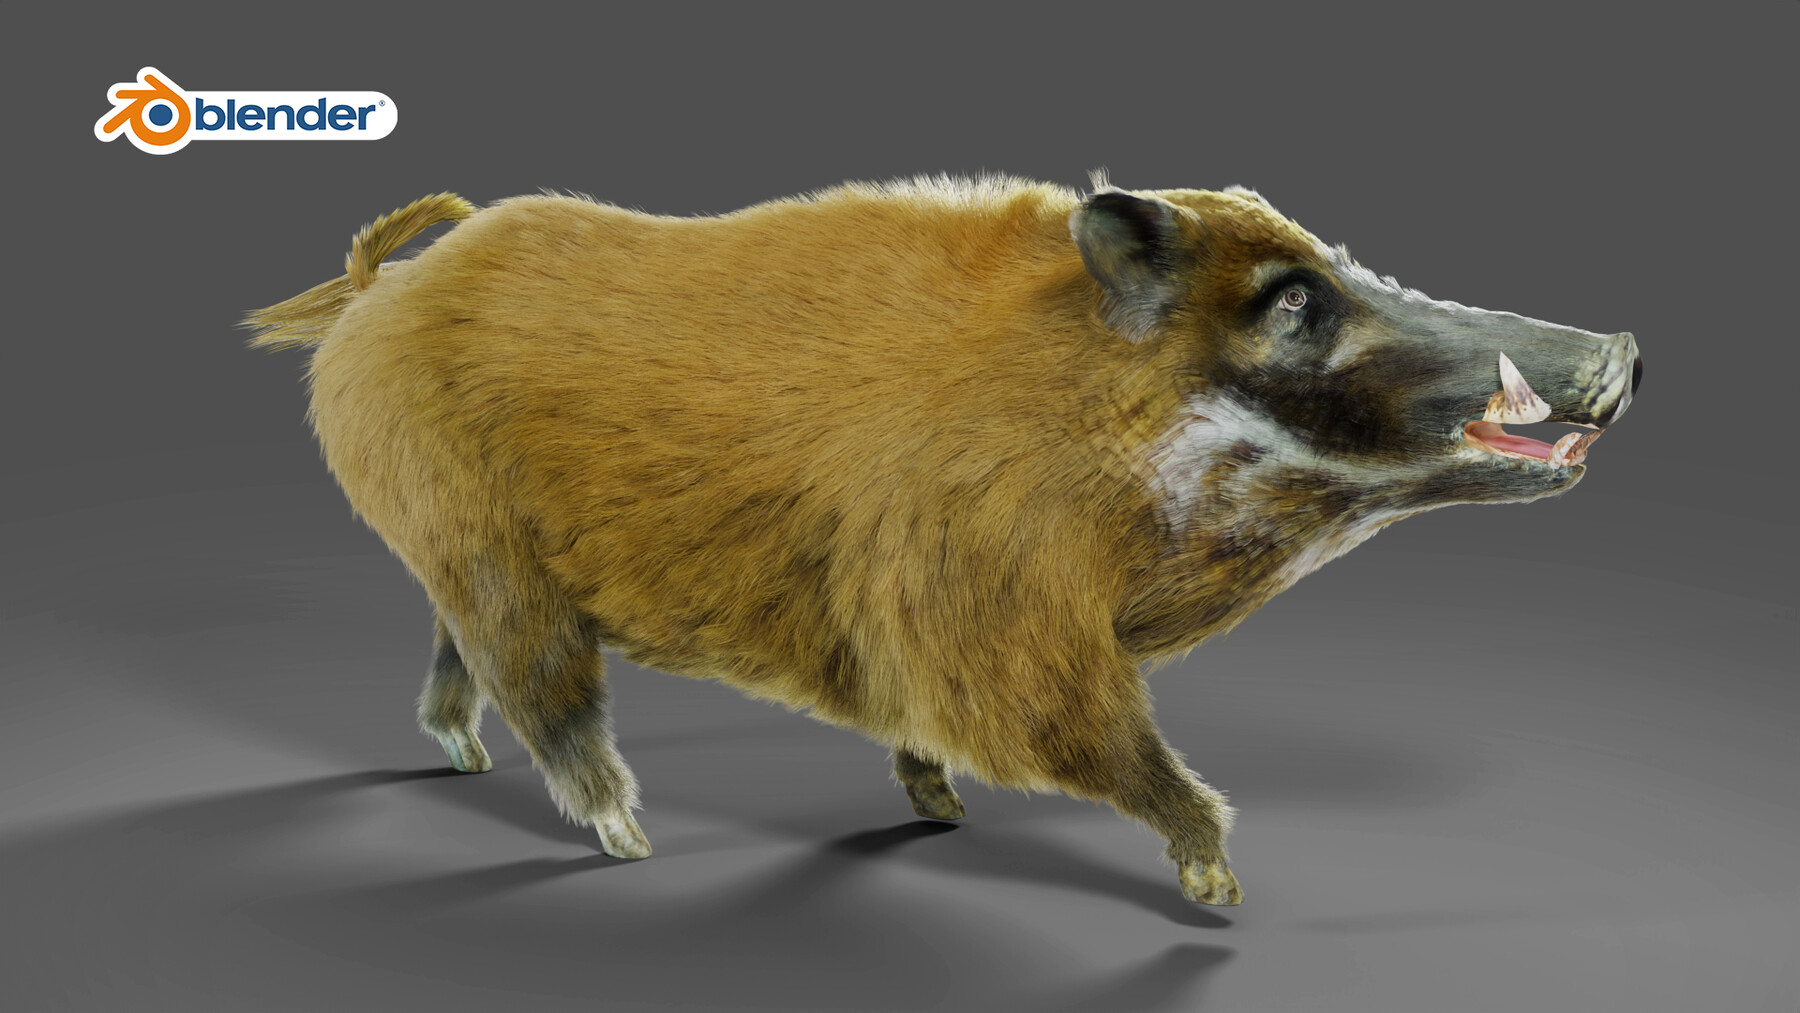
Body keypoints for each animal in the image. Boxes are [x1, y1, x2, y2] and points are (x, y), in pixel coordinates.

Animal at [245, 175, 1640, 906]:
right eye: (1295, 303)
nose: (1622, 348)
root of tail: (375, 293)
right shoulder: (999, 618)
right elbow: (1107, 744)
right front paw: (1219, 888)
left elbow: (922, 726)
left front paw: (942, 810)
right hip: (490, 559)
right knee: (551, 696)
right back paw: (627, 839)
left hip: (466, 557)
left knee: (458, 664)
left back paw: (462, 758)